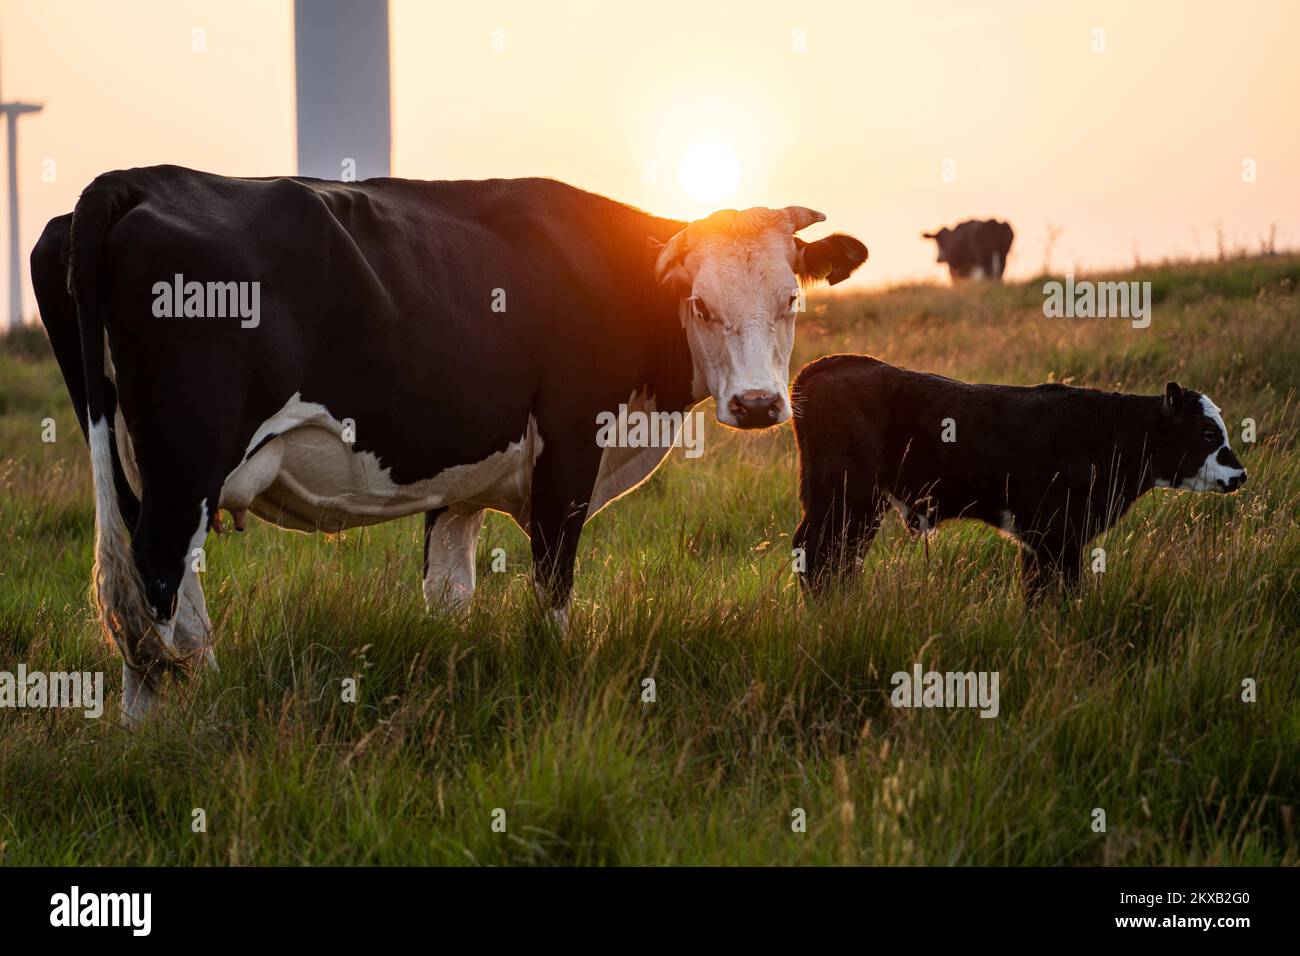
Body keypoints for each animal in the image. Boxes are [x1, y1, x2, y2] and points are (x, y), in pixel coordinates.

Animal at [31, 166, 869, 720]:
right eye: (698, 302)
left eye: (790, 299)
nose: (758, 404)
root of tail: (136, 180)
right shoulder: (568, 448)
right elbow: (552, 589)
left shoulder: (461, 482)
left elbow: (448, 594)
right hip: (186, 467)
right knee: (156, 586)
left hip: (136, 465)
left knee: (160, 608)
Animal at [790, 355, 1246, 605]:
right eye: (1208, 433)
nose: (1240, 475)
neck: (1106, 434)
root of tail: (830, 364)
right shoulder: (1058, 536)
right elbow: (1058, 594)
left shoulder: (1040, 540)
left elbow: (1036, 593)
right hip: (845, 497)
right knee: (819, 555)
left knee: (836, 558)